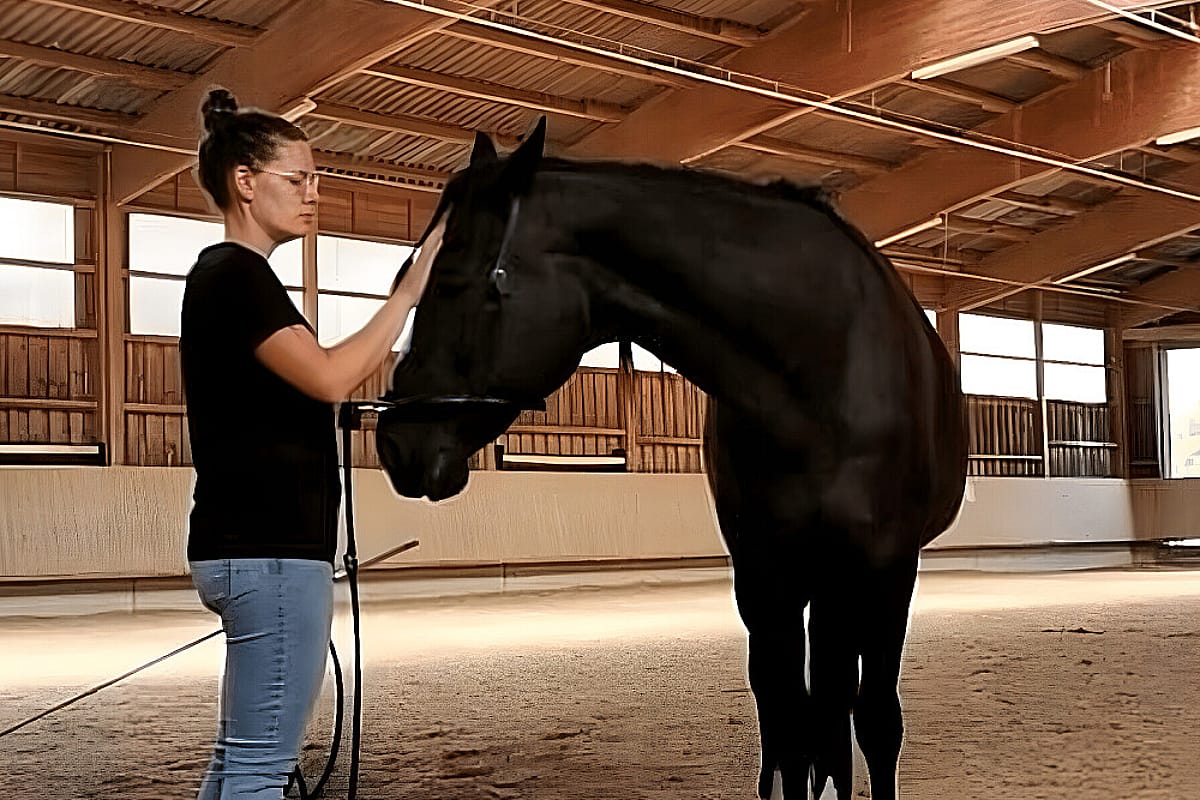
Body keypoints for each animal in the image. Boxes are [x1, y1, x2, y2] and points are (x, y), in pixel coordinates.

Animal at [375, 117, 968, 799]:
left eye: (449, 280)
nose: (395, 443)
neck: (822, 362)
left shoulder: (885, 569)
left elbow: (872, 723)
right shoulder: (763, 575)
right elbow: (790, 734)